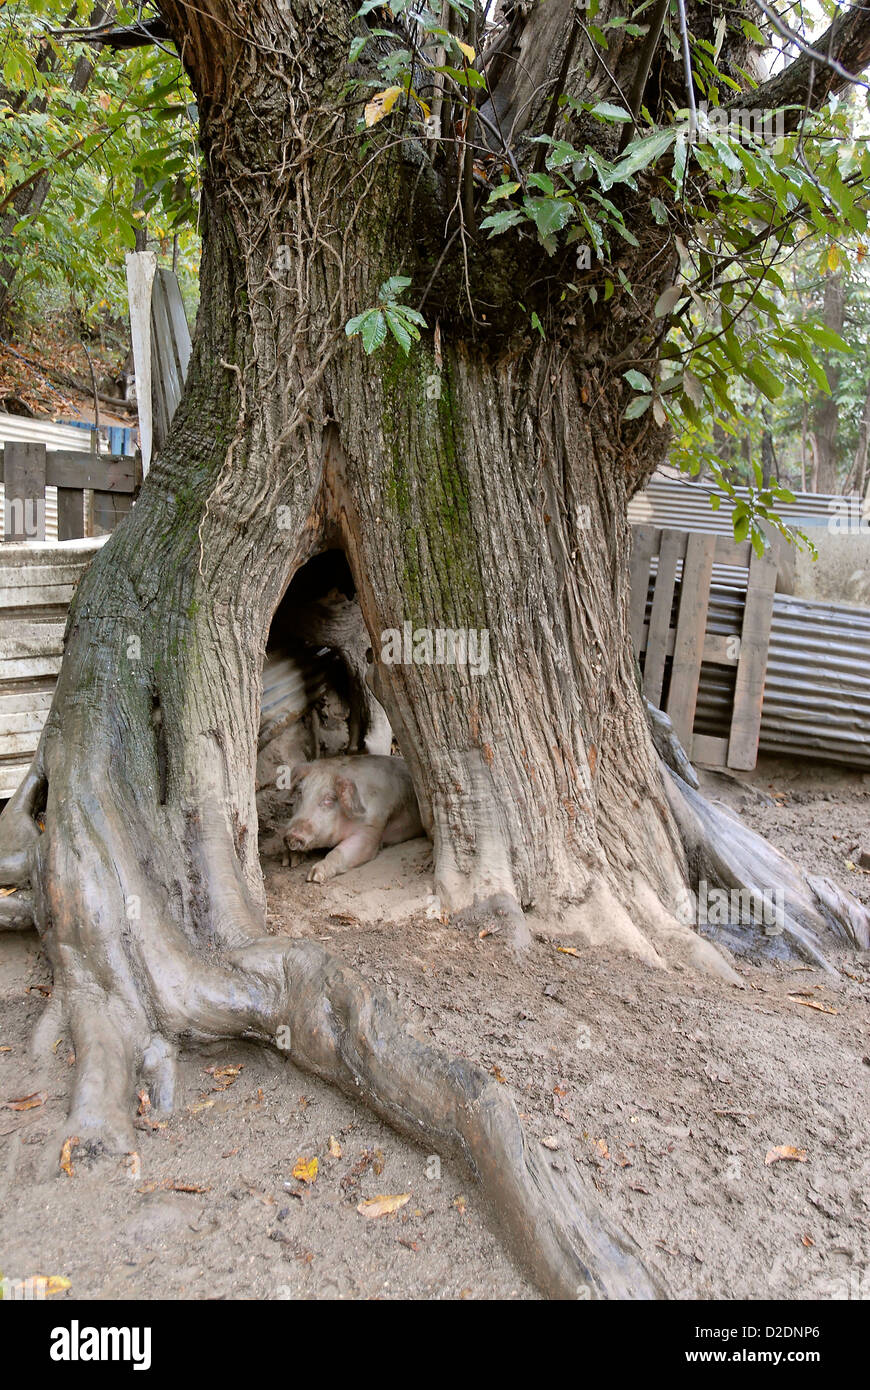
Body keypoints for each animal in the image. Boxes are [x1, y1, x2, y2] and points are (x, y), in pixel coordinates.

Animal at [284, 755, 423, 883]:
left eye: (329, 799)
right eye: (300, 793)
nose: (292, 834)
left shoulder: (372, 828)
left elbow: (339, 851)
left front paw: (314, 876)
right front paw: (289, 862)